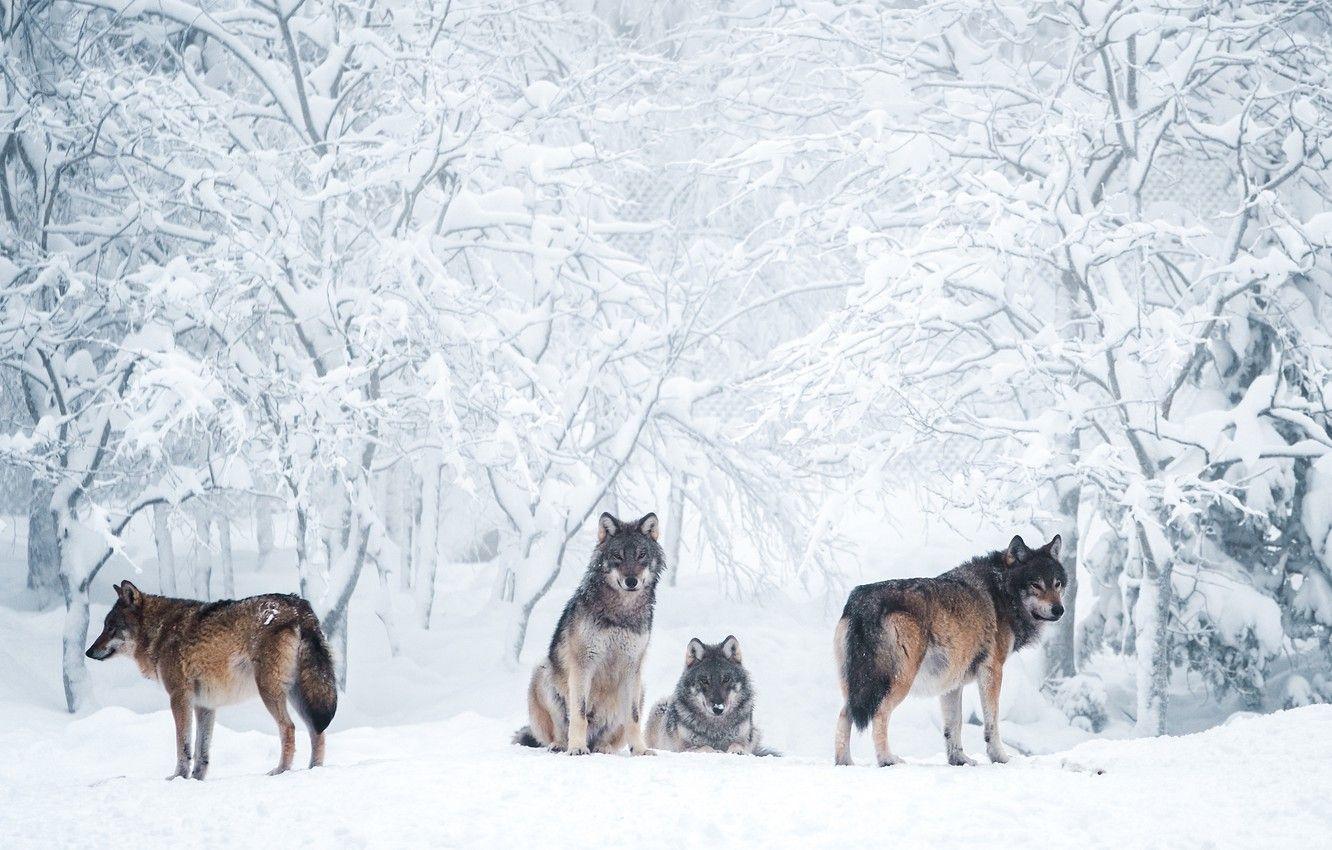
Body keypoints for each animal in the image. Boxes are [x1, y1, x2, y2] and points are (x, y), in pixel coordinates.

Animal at [85, 580, 337, 779]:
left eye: (111, 628)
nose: (88, 652)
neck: (160, 632)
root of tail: (300, 608)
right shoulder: (204, 705)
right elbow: (201, 749)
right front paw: (197, 779)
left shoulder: (179, 698)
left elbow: (183, 745)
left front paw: (178, 777)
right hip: (300, 694)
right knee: (317, 731)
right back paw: (314, 770)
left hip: (270, 691)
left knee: (289, 728)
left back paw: (281, 771)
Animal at [513, 511, 664, 756]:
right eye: (618, 556)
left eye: (641, 555)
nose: (631, 581)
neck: (621, 613)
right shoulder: (583, 663)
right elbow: (579, 714)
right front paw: (576, 747)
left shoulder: (633, 666)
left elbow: (633, 717)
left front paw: (640, 750)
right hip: (542, 672)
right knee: (558, 731)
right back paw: (562, 745)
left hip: (641, 689)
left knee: (607, 737)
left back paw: (603, 747)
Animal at [645, 635, 778, 756]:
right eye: (704, 680)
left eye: (726, 679)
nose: (718, 708)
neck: (716, 729)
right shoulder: (682, 748)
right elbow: (705, 747)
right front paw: (716, 751)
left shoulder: (744, 739)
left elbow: (737, 744)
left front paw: (736, 751)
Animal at [833, 534, 1065, 767]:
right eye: (1035, 585)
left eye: (1057, 584)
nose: (1059, 609)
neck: (1002, 591)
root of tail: (864, 602)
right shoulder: (992, 670)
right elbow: (992, 722)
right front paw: (1000, 758)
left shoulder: (952, 682)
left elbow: (954, 725)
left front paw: (959, 759)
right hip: (898, 681)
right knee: (879, 714)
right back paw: (887, 760)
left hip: (856, 685)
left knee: (844, 715)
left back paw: (845, 763)